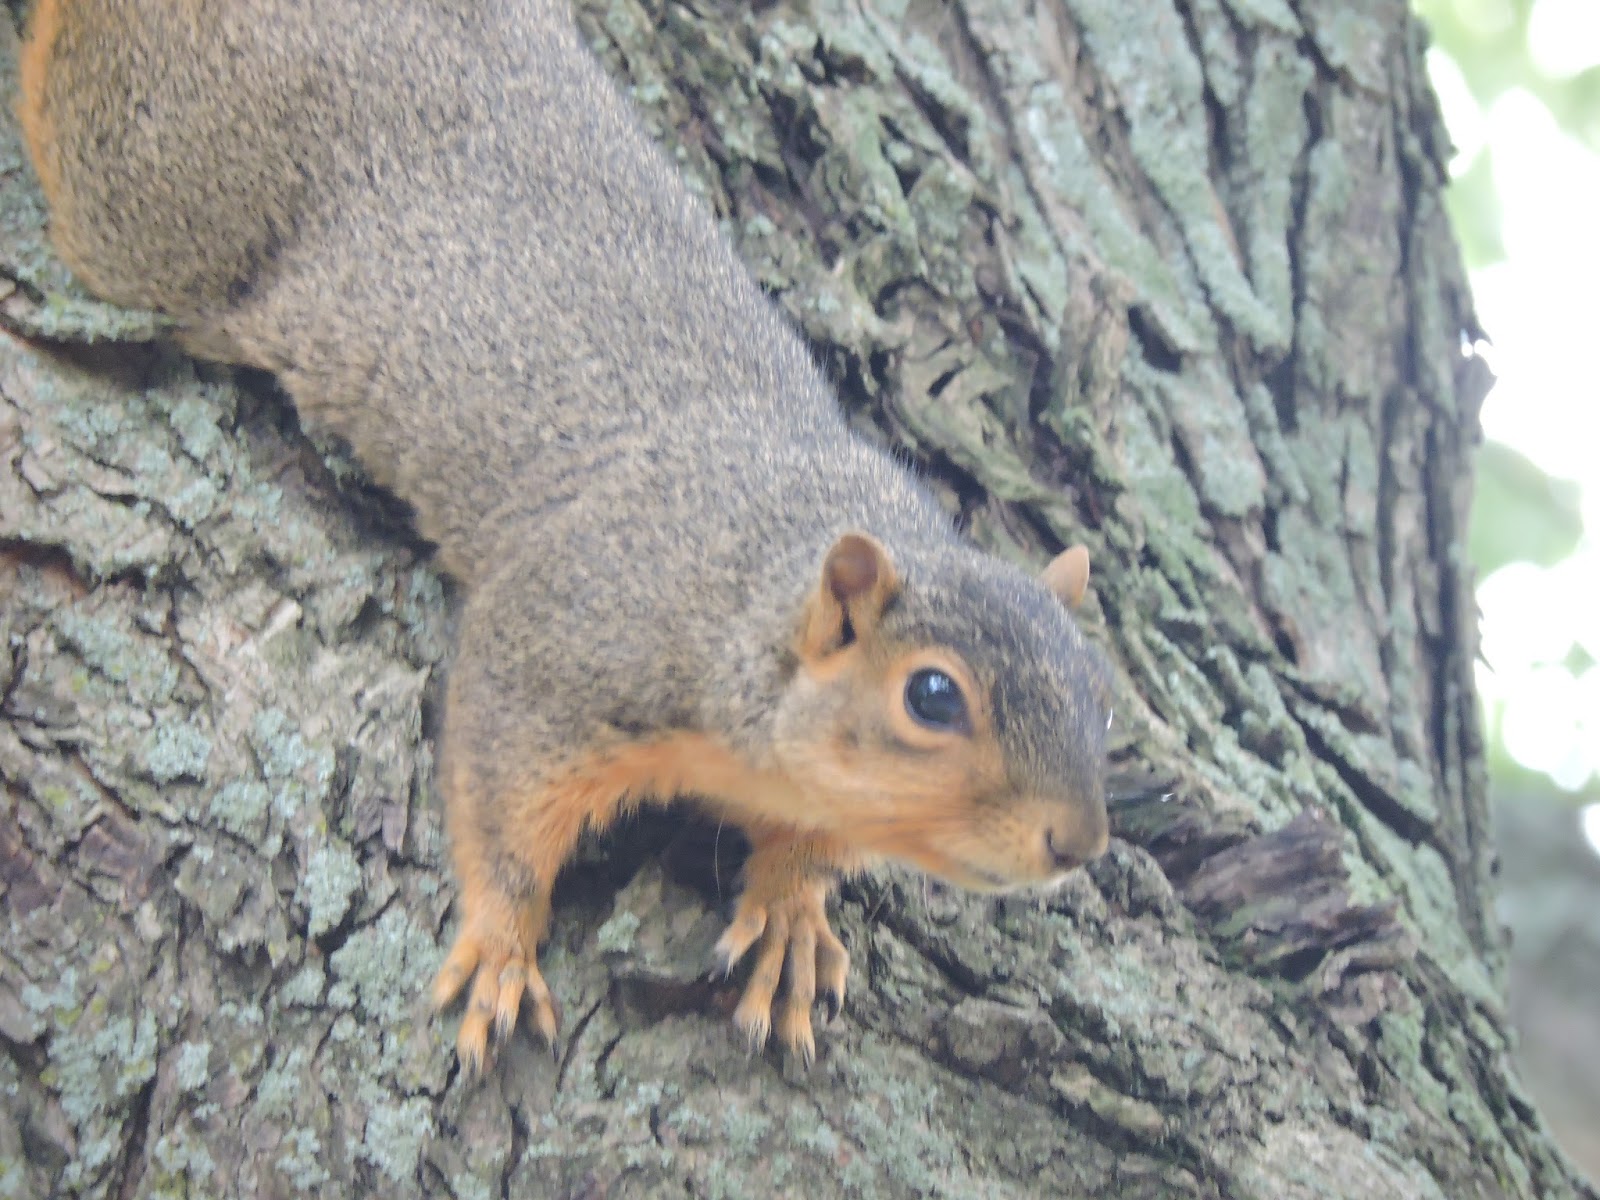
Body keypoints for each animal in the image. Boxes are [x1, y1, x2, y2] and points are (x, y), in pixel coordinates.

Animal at [17, 0, 1113, 1070]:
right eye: (932, 696)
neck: (756, 577)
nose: (1079, 843)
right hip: (154, 196)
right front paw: (502, 944)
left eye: (1094, 692)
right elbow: (500, 794)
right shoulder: (570, 641)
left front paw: (792, 913)